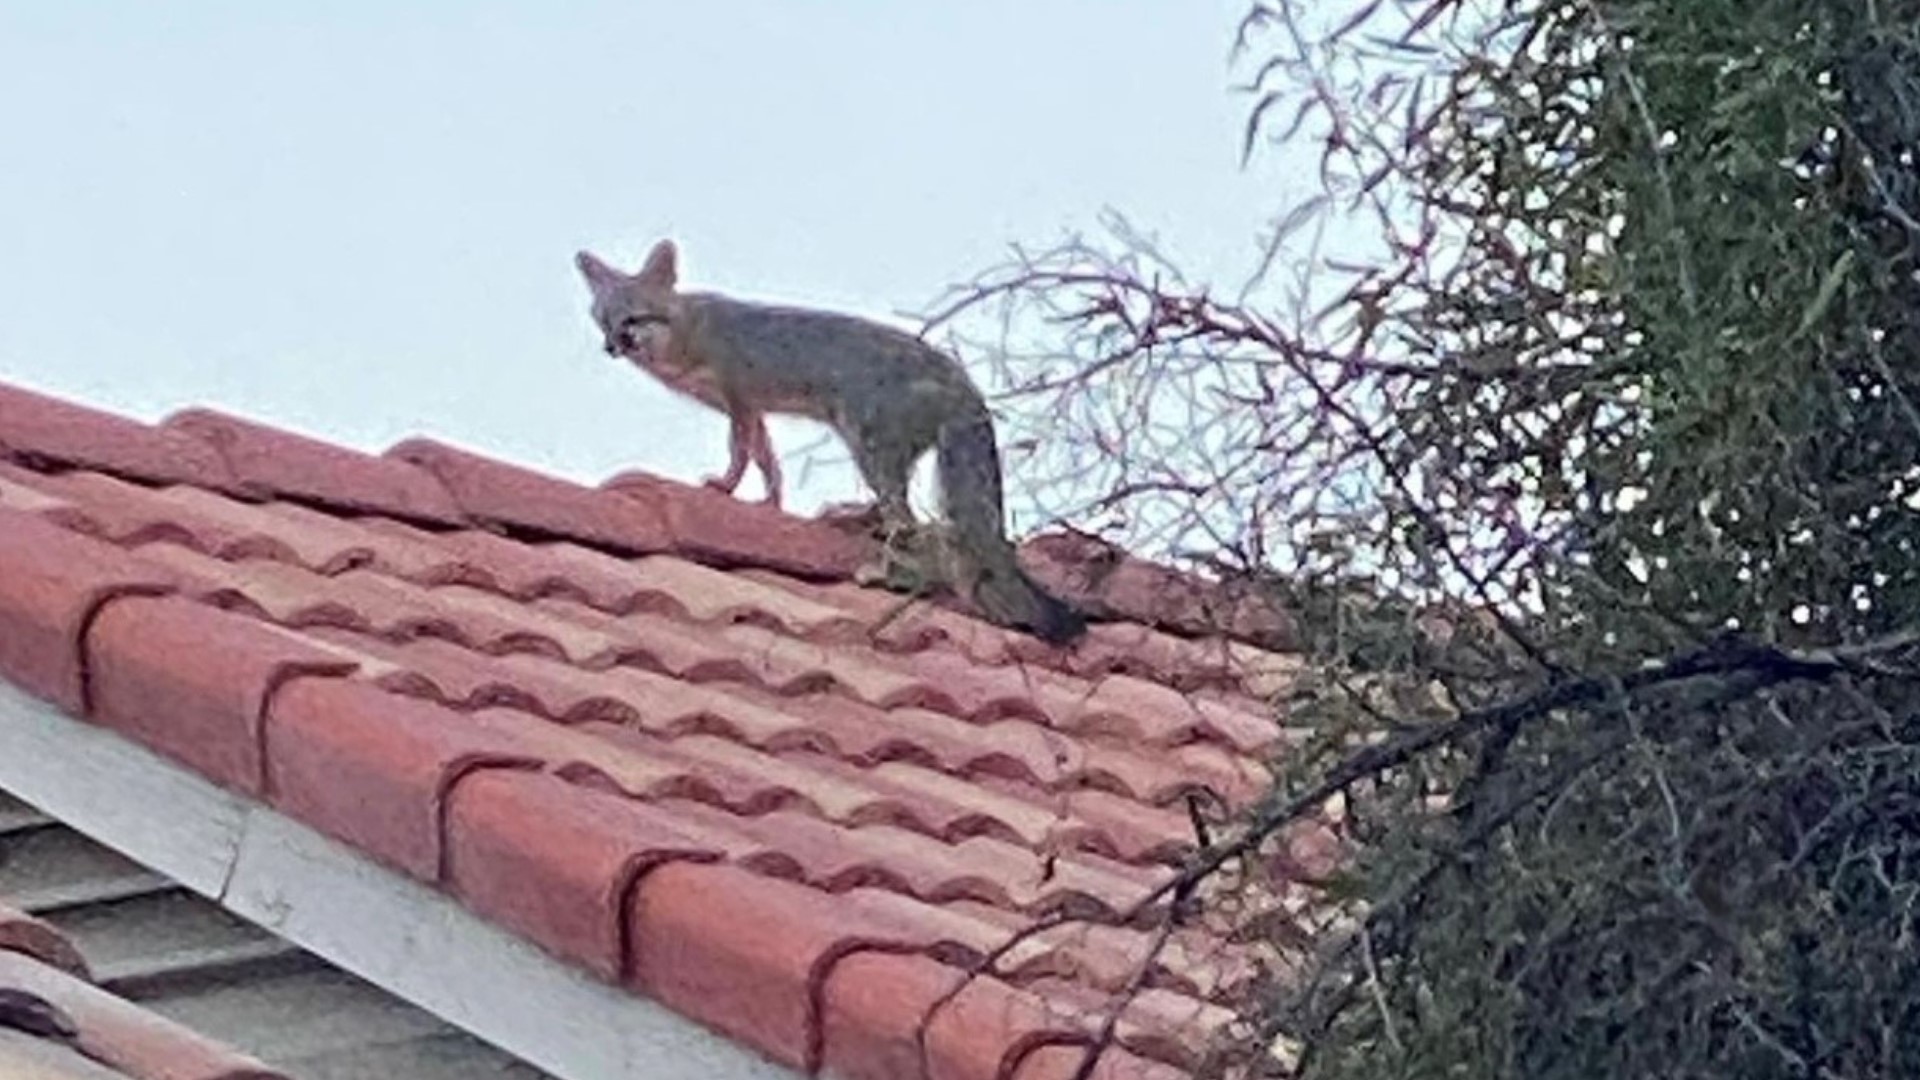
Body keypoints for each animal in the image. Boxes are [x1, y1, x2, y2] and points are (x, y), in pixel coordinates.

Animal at [574, 239, 1087, 646]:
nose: (611, 348)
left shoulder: (740, 401)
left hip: (866, 445)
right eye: (604, 321)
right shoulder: (754, 412)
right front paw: (769, 503)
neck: (690, 333)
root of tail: (966, 386)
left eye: (632, 320)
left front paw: (725, 487)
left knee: (909, 522)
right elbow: (768, 463)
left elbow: (740, 455)